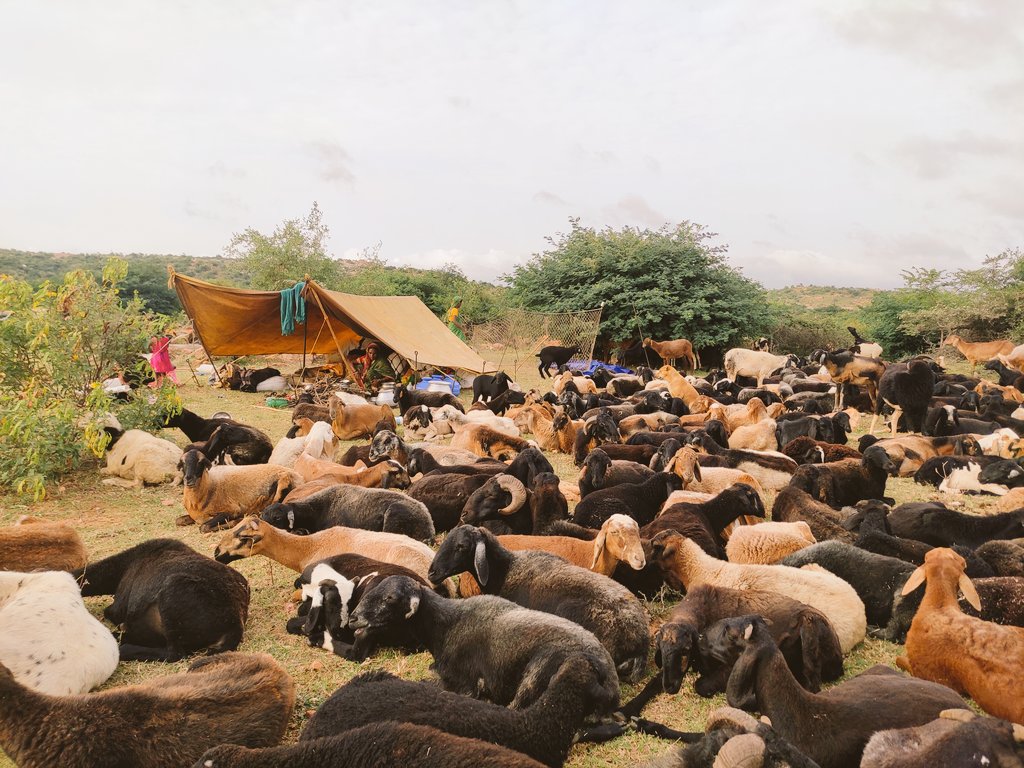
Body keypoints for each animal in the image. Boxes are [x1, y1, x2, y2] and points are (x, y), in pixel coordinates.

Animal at [349, 574, 620, 712]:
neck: (446, 625)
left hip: (538, 670)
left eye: (390, 598)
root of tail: (611, 681)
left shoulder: (464, 682)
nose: (353, 618)